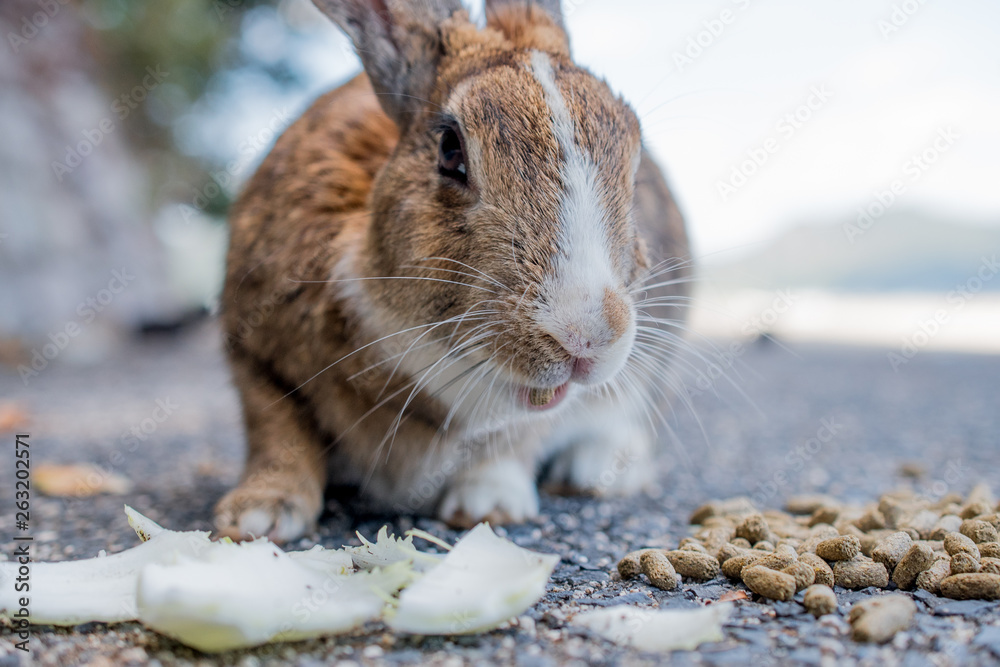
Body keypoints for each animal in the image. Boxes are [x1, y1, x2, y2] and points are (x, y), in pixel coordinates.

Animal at [214, 0, 690, 542]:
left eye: (633, 157)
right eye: (449, 149)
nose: (588, 339)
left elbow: (514, 439)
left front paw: (488, 506)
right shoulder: (256, 356)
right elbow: (278, 432)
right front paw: (259, 516)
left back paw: (597, 469)